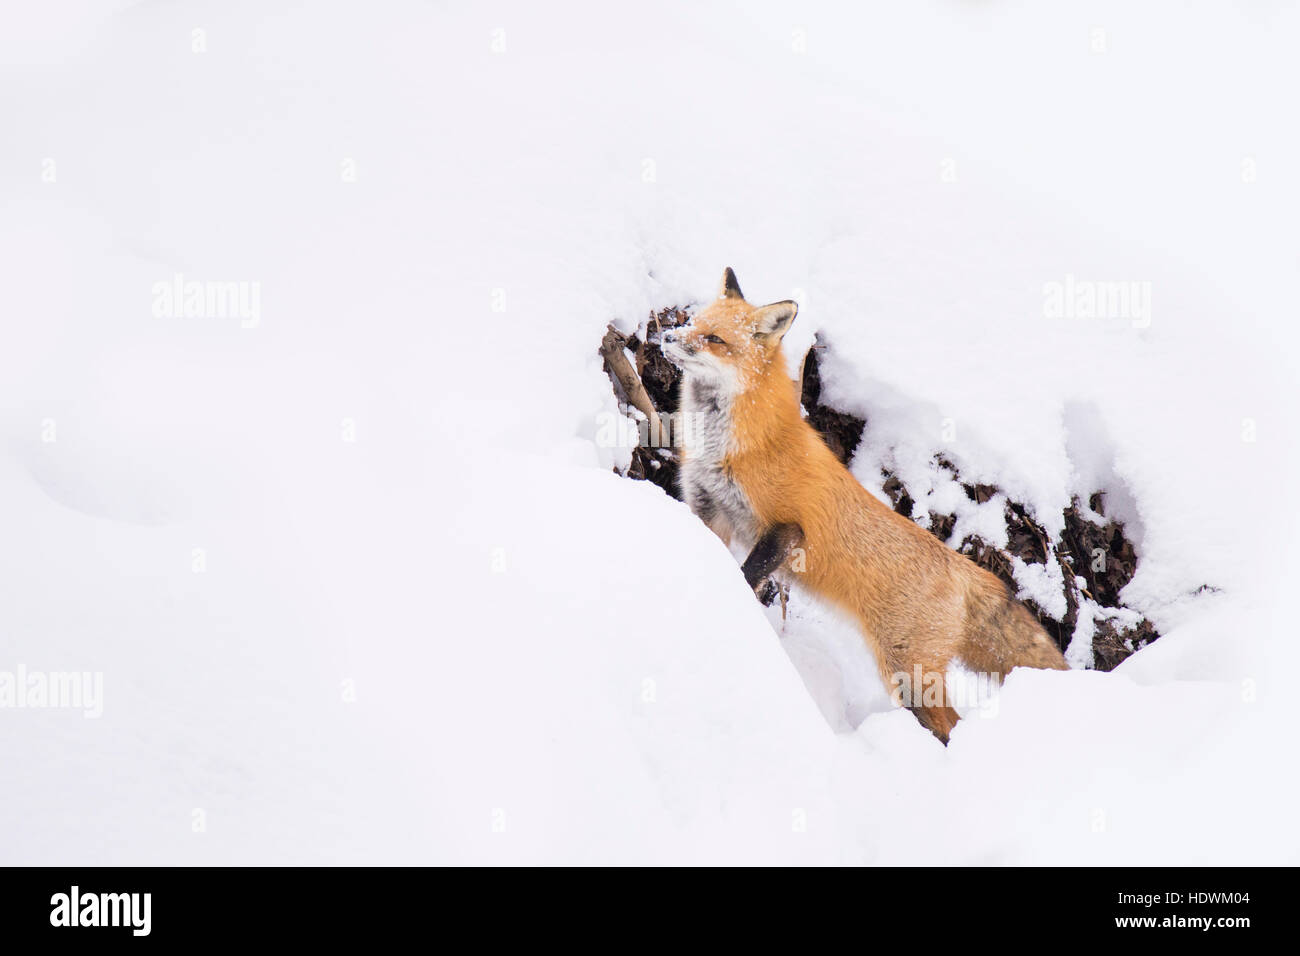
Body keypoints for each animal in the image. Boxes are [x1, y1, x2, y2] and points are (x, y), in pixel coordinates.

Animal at [660, 267, 1068, 743]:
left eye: (715, 339)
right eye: (693, 321)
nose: (667, 335)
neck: (729, 445)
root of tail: (965, 567)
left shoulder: (787, 528)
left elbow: (747, 576)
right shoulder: (709, 511)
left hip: (907, 672)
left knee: (950, 724)